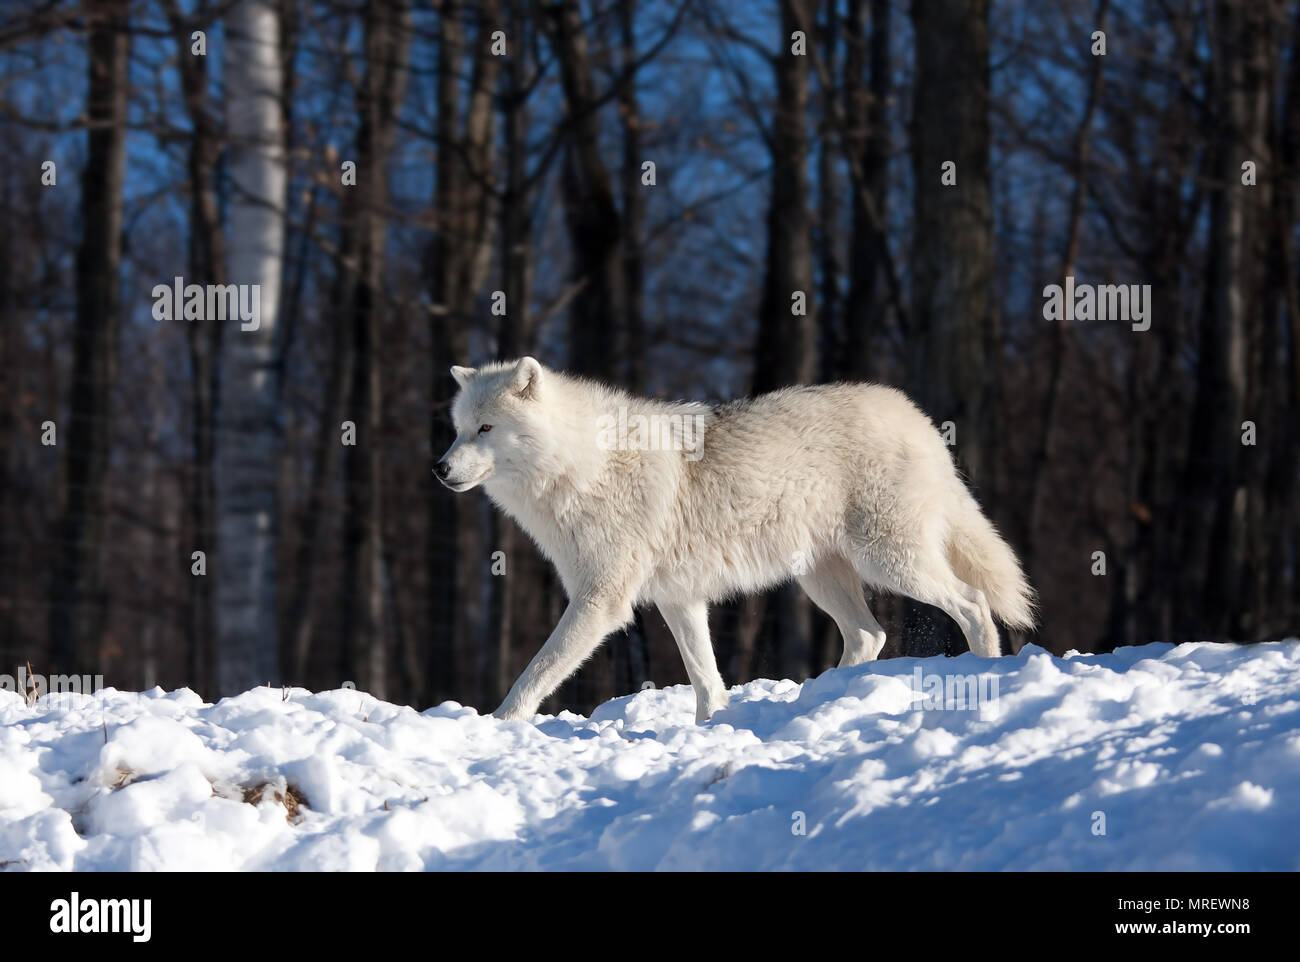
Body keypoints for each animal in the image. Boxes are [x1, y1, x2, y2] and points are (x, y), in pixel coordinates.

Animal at [436, 357, 1036, 723]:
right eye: (458, 430)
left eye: (485, 429)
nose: (439, 470)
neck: (584, 464)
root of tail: (919, 418)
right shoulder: (678, 599)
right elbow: (706, 678)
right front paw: (711, 727)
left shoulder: (600, 602)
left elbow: (535, 673)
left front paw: (498, 726)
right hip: (823, 577)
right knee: (870, 635)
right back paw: (825, 697)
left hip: (888, 561)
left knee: (972, 603)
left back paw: (986, 676)